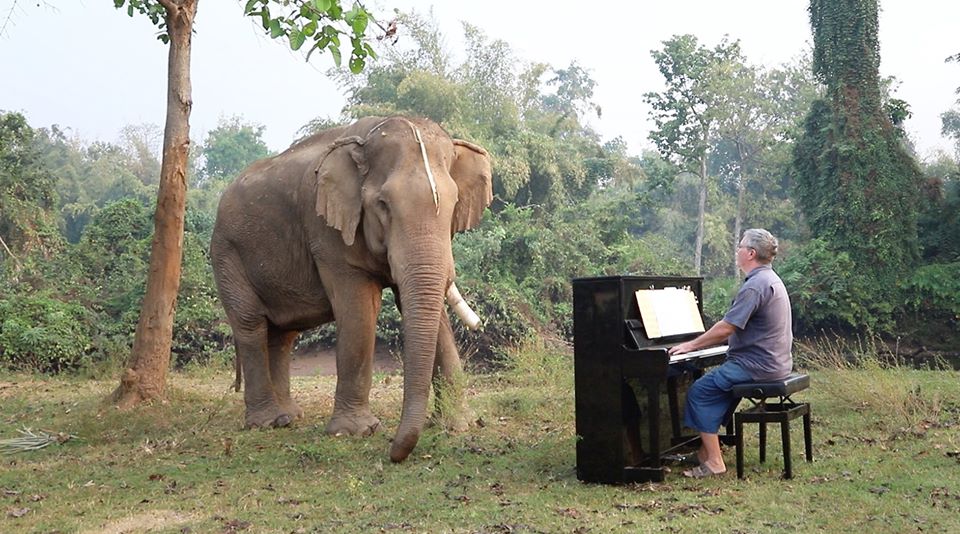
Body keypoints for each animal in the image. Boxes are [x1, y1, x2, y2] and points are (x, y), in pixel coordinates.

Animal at [209, 116, 492, 462]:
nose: (393, 450)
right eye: (383, 205)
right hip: (226, 253)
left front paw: (459, 424)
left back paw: (290, 417)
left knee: (282, 334)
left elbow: (431, 312)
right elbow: (357, 310)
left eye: (454, 204)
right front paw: (356, 431)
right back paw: (266, 422)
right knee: (251, 325)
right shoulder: (327, 233)